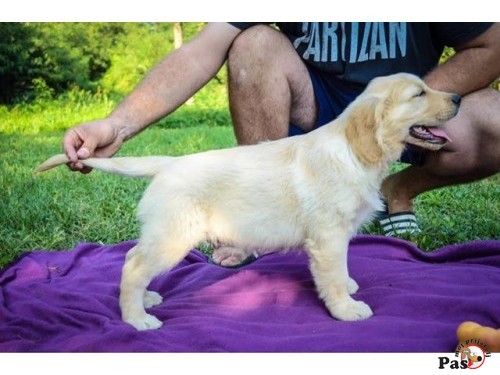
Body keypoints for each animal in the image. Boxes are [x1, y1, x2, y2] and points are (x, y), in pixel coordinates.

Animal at [37, 72, 460, 330]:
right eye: (419, 94)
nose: (457, 97)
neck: (354, 151)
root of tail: (168, 163)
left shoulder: (336, 234)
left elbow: (343, 269)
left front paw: (350, 287)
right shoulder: (328, 235)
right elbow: (333, 274)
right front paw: (346, 309)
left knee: (136, 263)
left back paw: (147, 299)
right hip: (173, 236)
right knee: (132, 264)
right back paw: (135, 317)